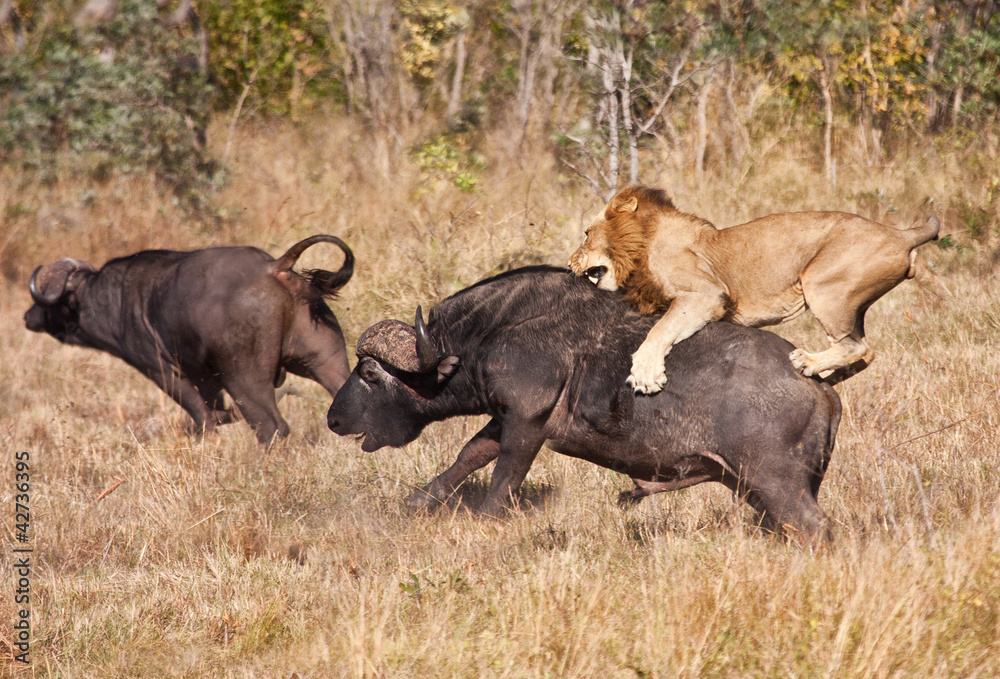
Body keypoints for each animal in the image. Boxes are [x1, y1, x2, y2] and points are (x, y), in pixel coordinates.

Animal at [25, 235, 355, 443]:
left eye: (49, 299)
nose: (28, 316)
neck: (111, 300)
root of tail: (273, 268)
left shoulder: (161, 371)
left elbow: (201, 415)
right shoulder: (206, 378)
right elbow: (213, 409)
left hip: (244, 379)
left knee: (271, 427)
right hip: (325, 361)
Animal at [327, 266, 842, 539]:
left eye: (369, 373)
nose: (332, 418)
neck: (494, 331)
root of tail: (820, 386)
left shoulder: (526, 424)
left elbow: (503, 479)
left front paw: (486, 520)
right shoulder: (503, 418)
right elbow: (468, 455)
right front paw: (418, 500)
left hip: (777, 484)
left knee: (817, 528)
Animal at [569, 185, 940, 394]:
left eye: (586, 234)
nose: (570, 260)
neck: (640, 245)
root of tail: (901, 233)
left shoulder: (706, 294)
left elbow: (660, 330)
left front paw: (645, 375)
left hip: (823, 287)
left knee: (857, 346)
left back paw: (807, 362)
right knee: (867, 352)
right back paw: (822, 375)